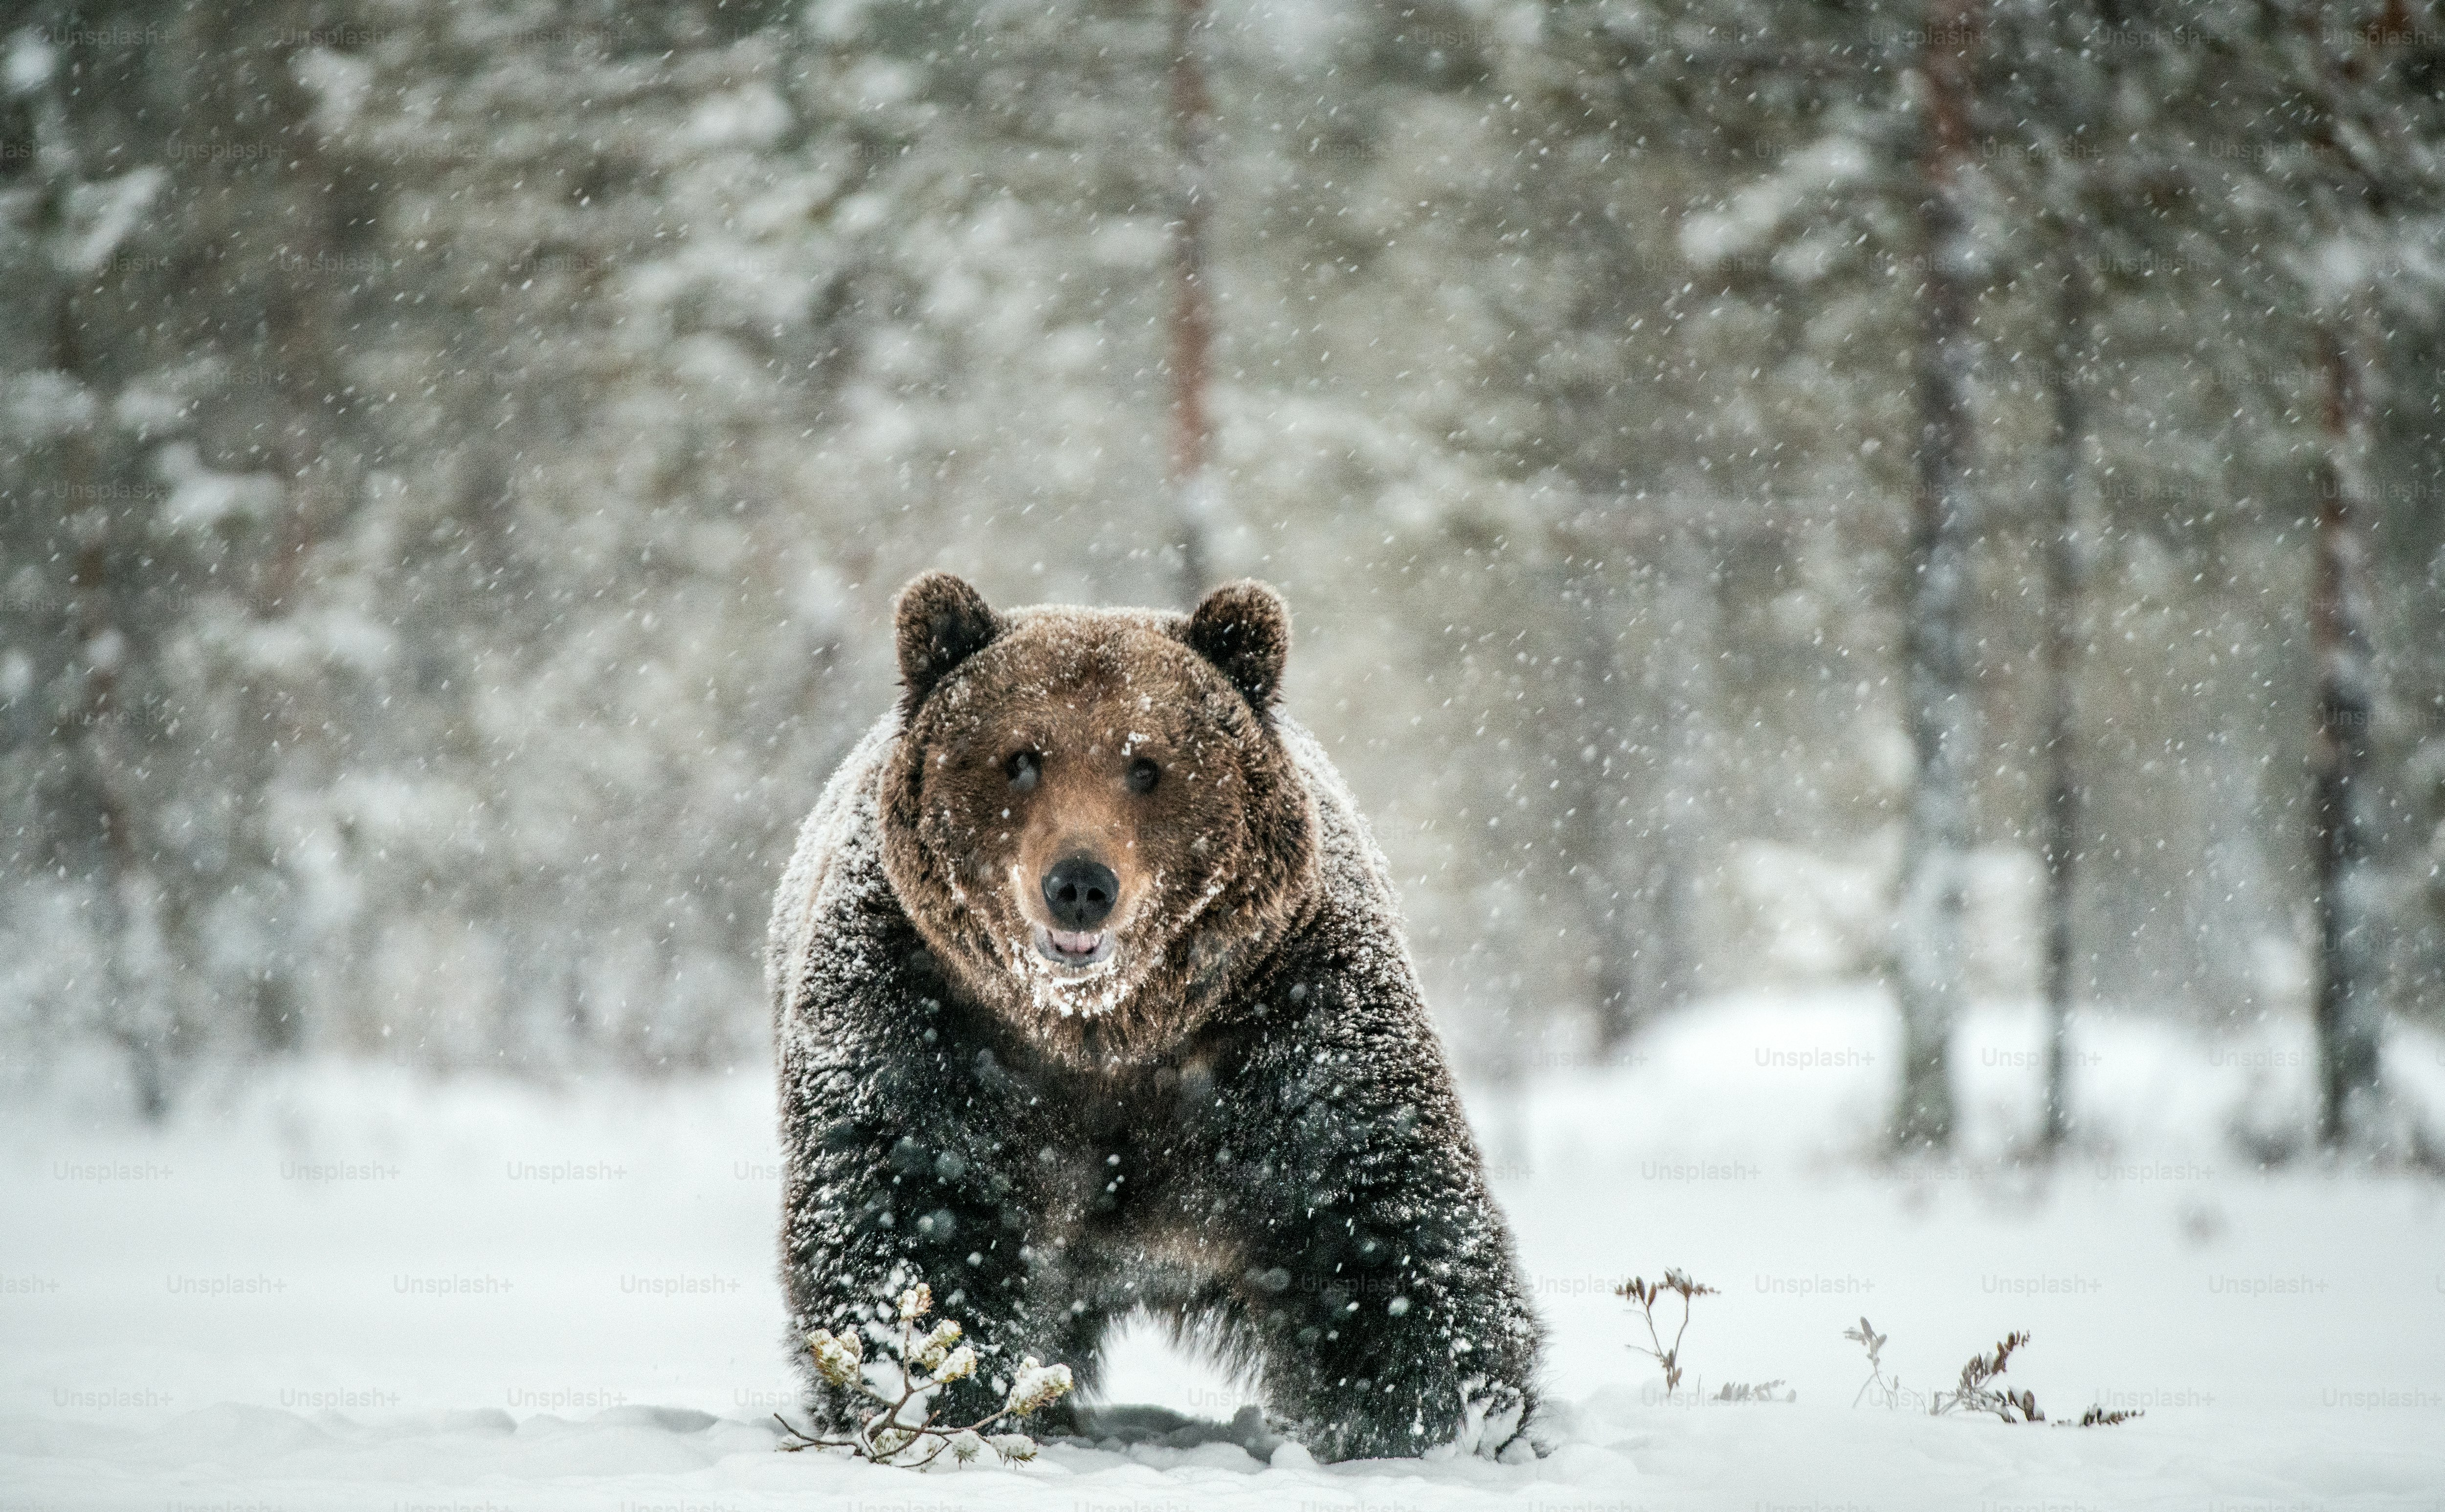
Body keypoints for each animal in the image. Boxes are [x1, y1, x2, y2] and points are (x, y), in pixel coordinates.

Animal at [766, 571, 1544, 1461]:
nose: (1079, 883)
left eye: (1146, 764)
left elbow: (1374, 1206)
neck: (1105, 1031)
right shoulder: (924, 1013)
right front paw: (933, 1398)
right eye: (1021, 757)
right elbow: (912, 1210)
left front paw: (1437, 1414)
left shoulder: (1289, 1017)